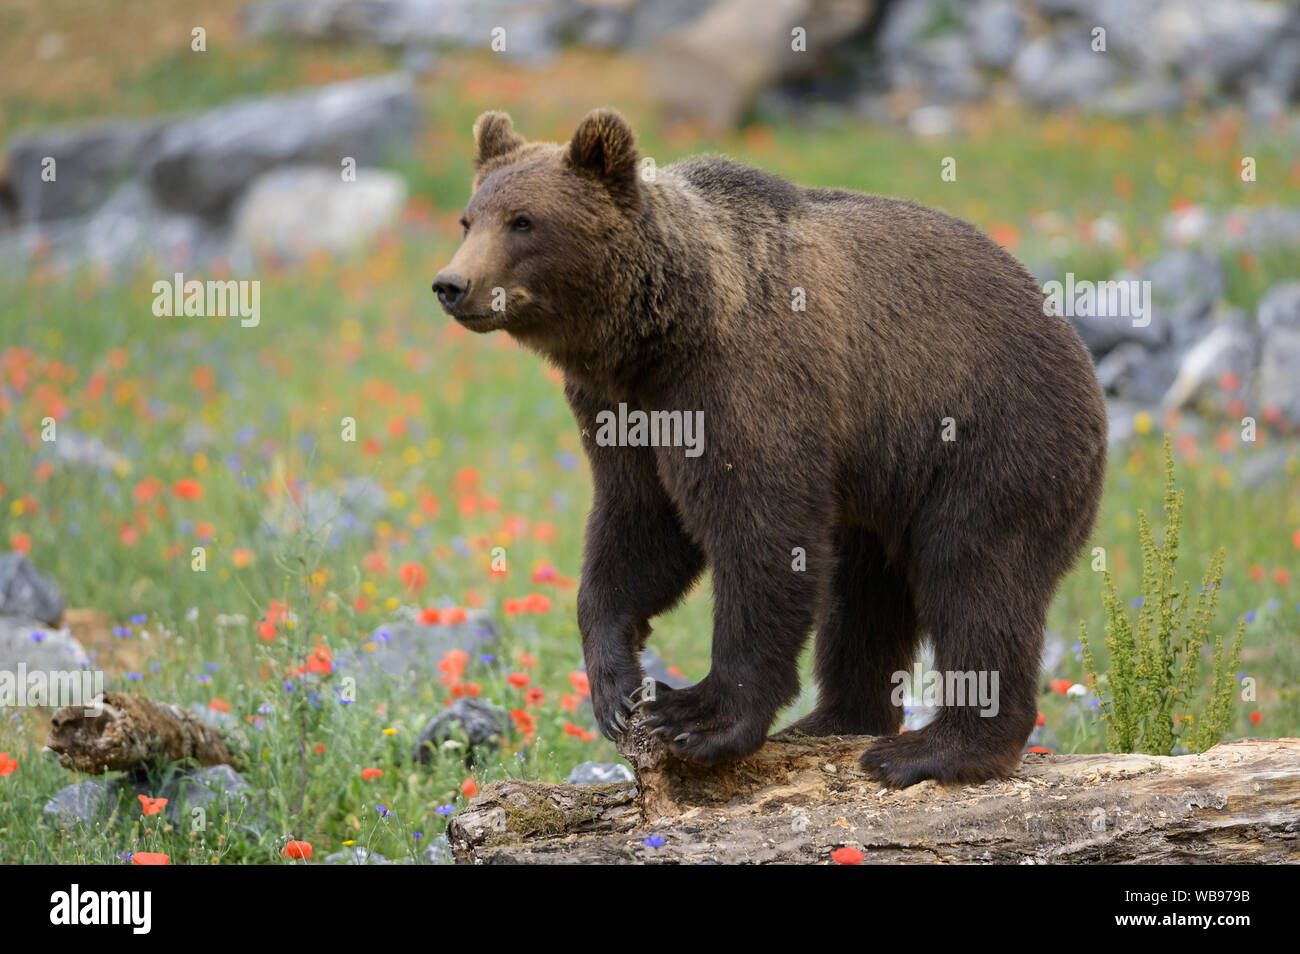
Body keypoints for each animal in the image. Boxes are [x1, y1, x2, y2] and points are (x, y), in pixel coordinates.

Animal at [433, 108, 1108, 787]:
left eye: (523, 221)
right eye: (469, 218)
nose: (451, 284)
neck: (660, 335)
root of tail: (1073, 342)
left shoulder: (746, 380)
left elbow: (759, 527)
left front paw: (698, 715)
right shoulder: (621, 410)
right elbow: (639, 523)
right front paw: (618, 686)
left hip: (994, 441)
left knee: (974, 577)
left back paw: (928, 749)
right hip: (882, 493)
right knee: (864, 596)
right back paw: (831, 722)